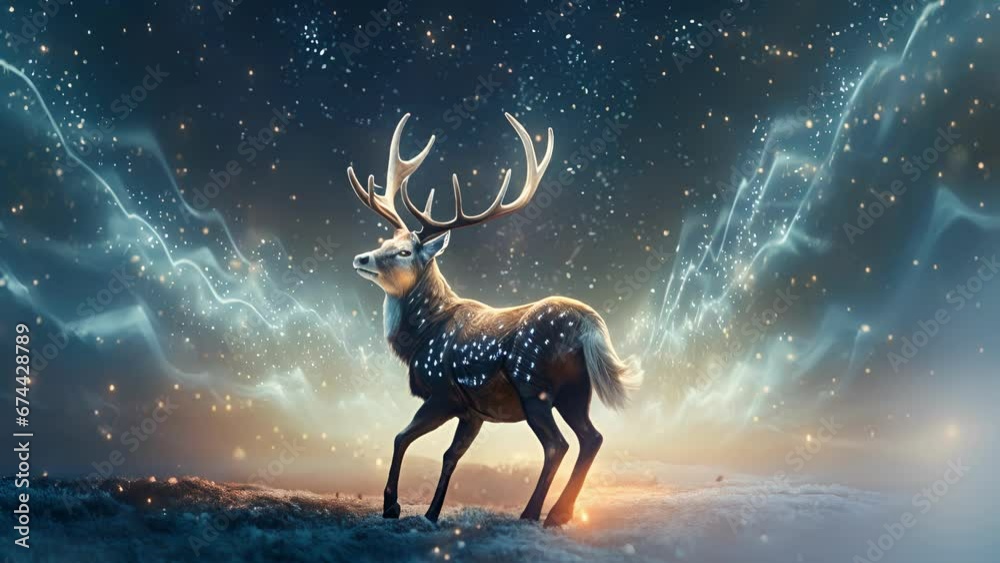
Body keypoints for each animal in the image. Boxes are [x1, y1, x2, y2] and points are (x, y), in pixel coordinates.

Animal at [347, 112, 642, 527]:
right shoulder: (474, 411)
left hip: (533, 384)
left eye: (404, 252)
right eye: (384, 242)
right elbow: (450, 456)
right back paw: (560, 513)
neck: (423, 334)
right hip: (576, 390)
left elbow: (401, 437)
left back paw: (532, 513)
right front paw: (431, 514)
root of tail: (589, 325)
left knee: (557, 444)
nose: (361, 258)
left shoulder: (443, 392)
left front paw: (392, 507)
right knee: (592, 437)